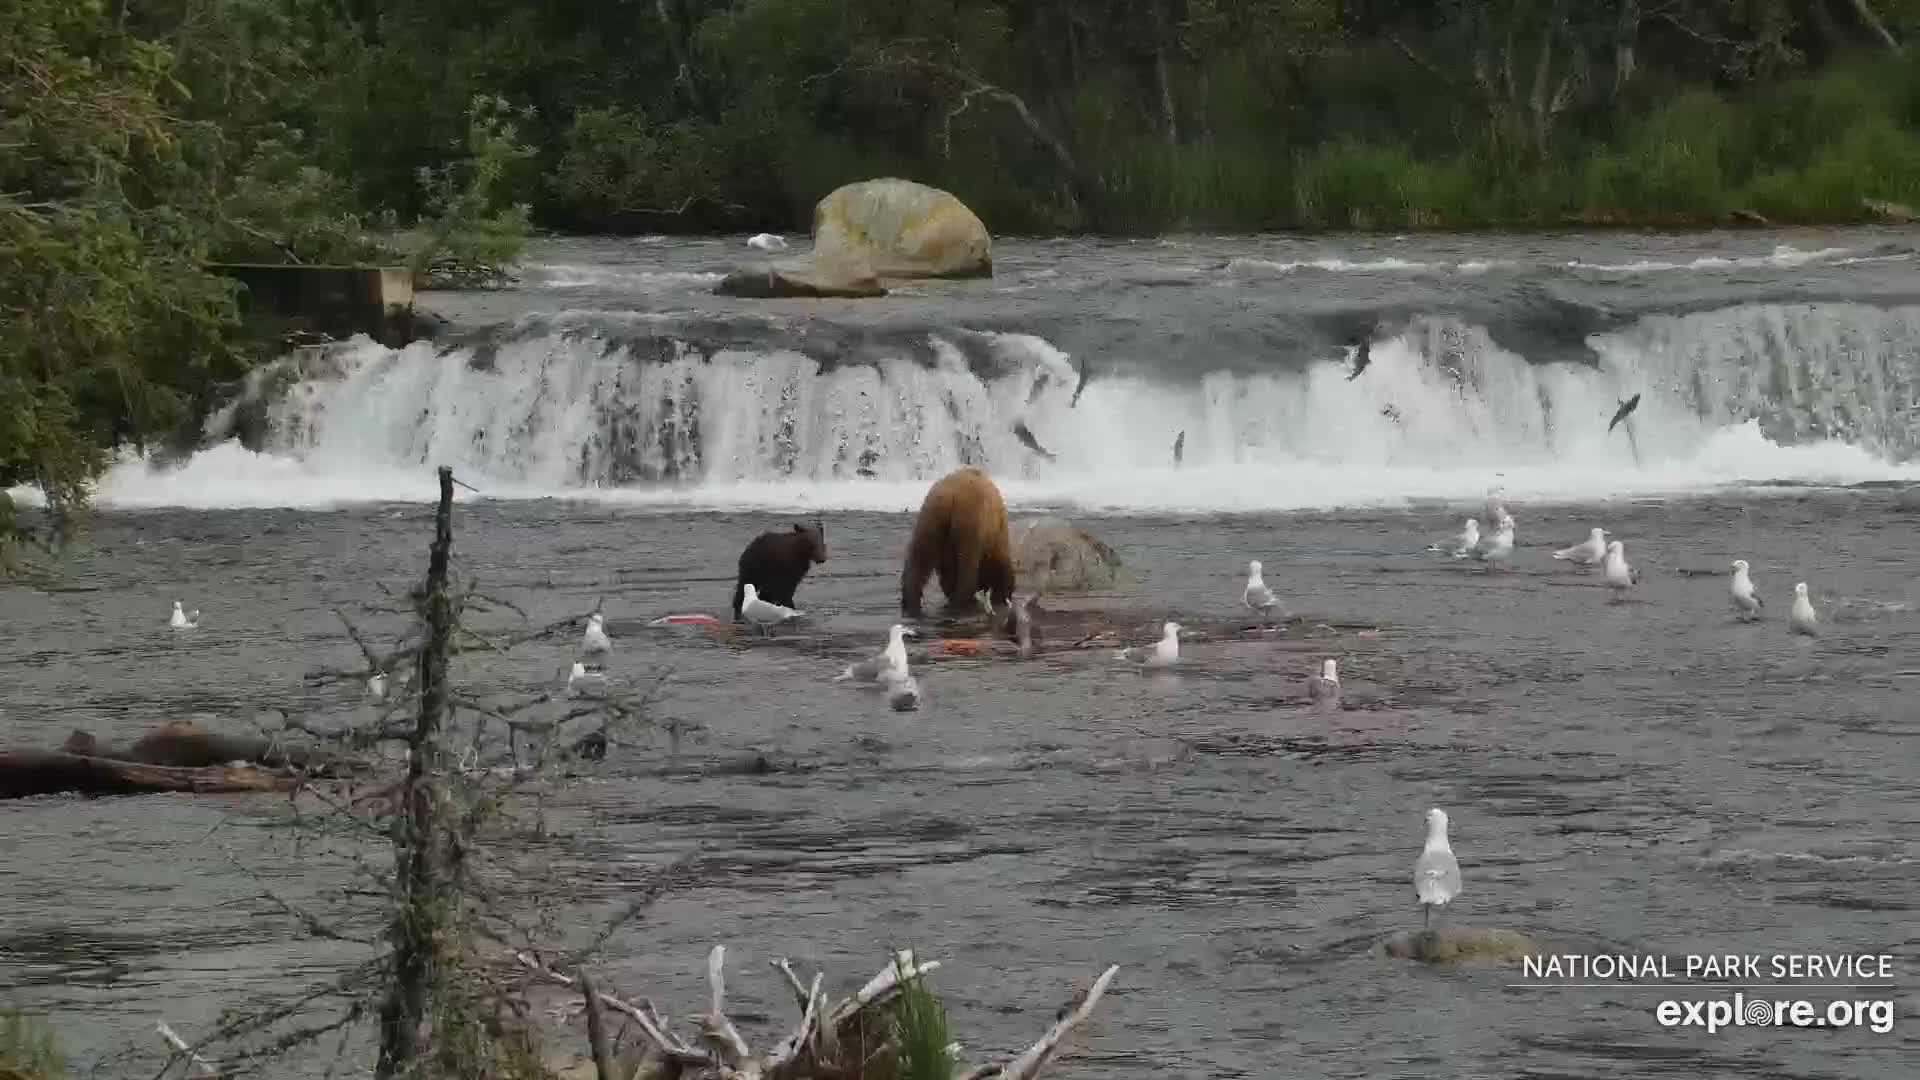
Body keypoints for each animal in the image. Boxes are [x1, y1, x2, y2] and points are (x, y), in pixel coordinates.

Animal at [900, 465, 1016, 618]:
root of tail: (950, 497)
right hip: (969, 522)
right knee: (967, 568)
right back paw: (963, 602)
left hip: (929, 519)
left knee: (919, 558)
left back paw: (911, 603)